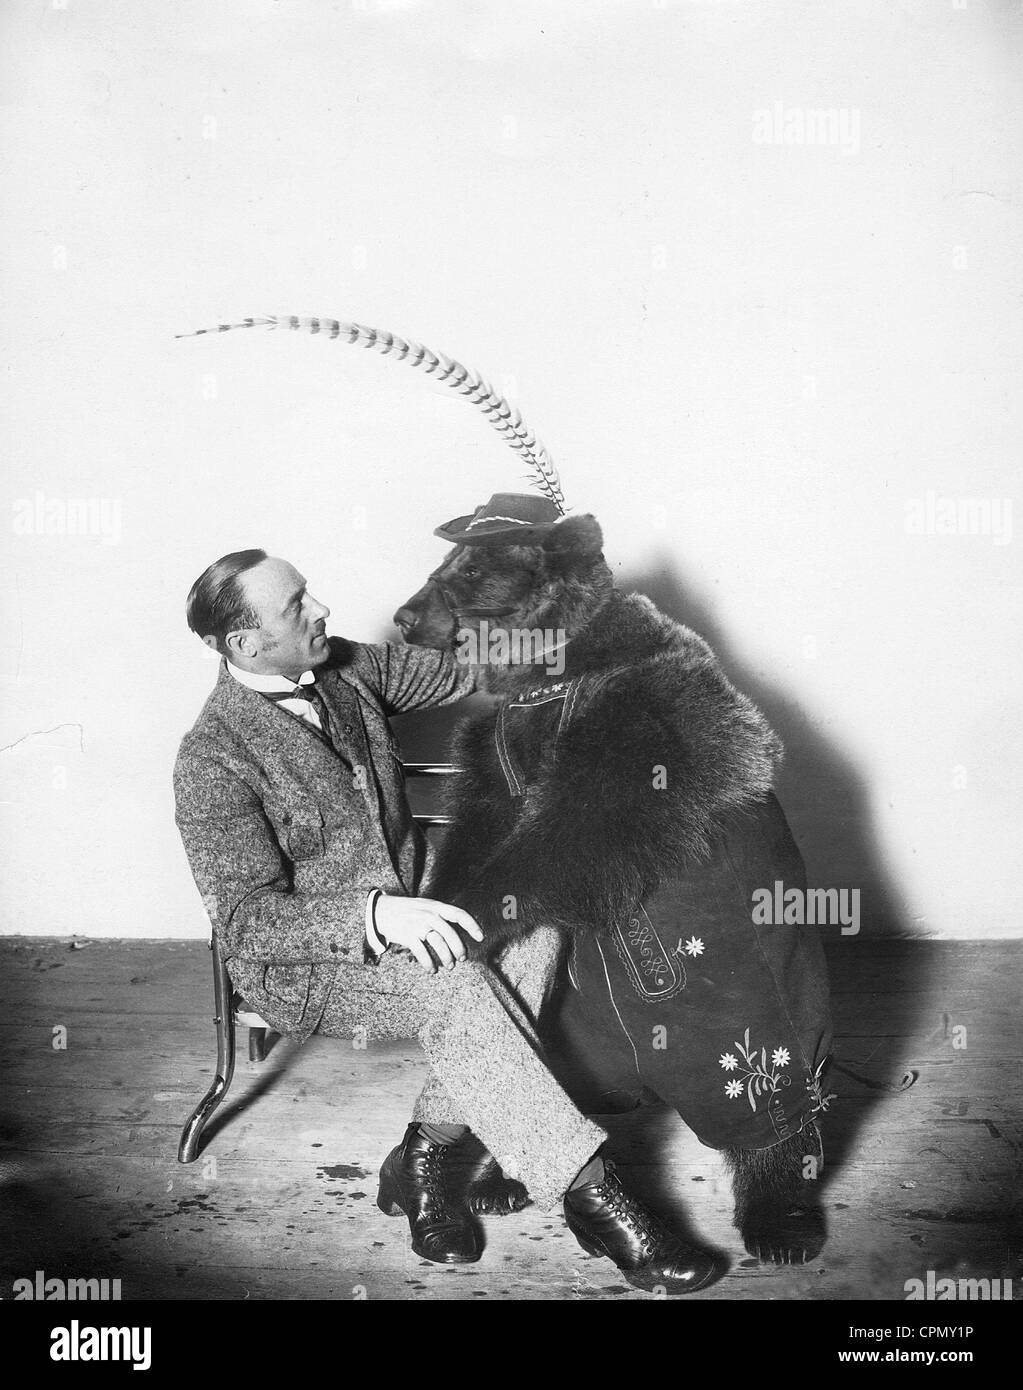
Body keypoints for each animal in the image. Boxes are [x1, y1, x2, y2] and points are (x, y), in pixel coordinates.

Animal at [394, 494, 833, 1267]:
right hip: (577, 1024)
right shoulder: (495, 748)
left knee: (763, 1104)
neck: (548, 676)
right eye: (441, 564)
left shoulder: (647, 724)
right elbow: (477, 822)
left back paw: (782, 1221)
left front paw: (465, 918)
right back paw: (498, 1183)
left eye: (470, 568)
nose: (405, 617)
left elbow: (577, 831)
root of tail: (644, 1075)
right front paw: (438, 900)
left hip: (734, 1012)